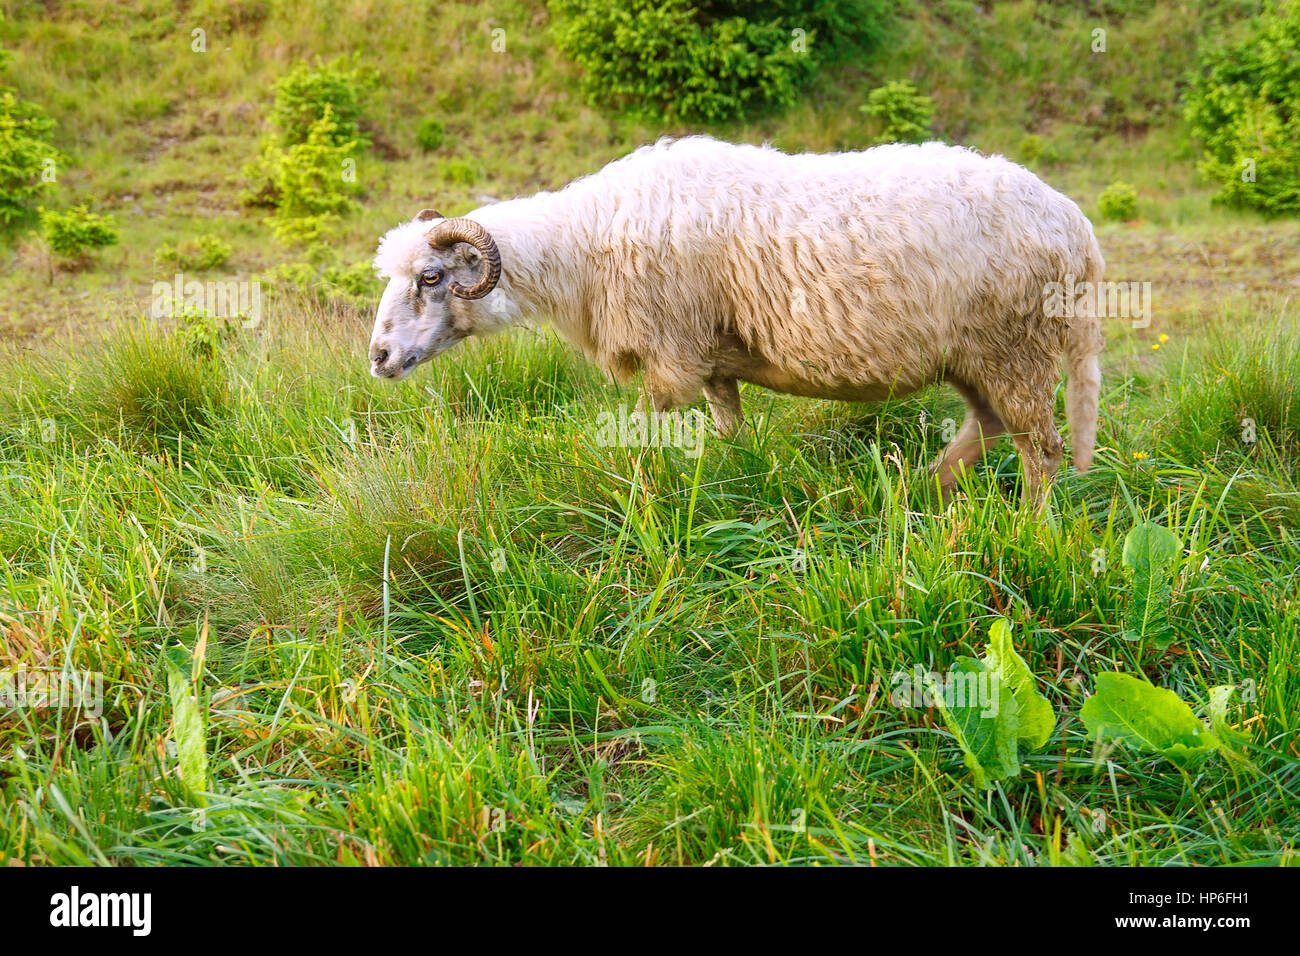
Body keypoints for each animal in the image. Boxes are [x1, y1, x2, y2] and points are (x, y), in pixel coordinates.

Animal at [368, 135, 1104, 501]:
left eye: (430, 278)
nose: (377, 358)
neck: (587, 243)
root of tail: (1074, 220)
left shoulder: (672, 357)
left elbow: (644, 434)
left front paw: (639, 496)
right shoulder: (713, 359)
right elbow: (729, 429)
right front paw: (737, 474)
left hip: (1016, 345)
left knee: (1041, 450)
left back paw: (1028, 530)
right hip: (976, 354)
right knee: (991, 425)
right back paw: (926, 488)